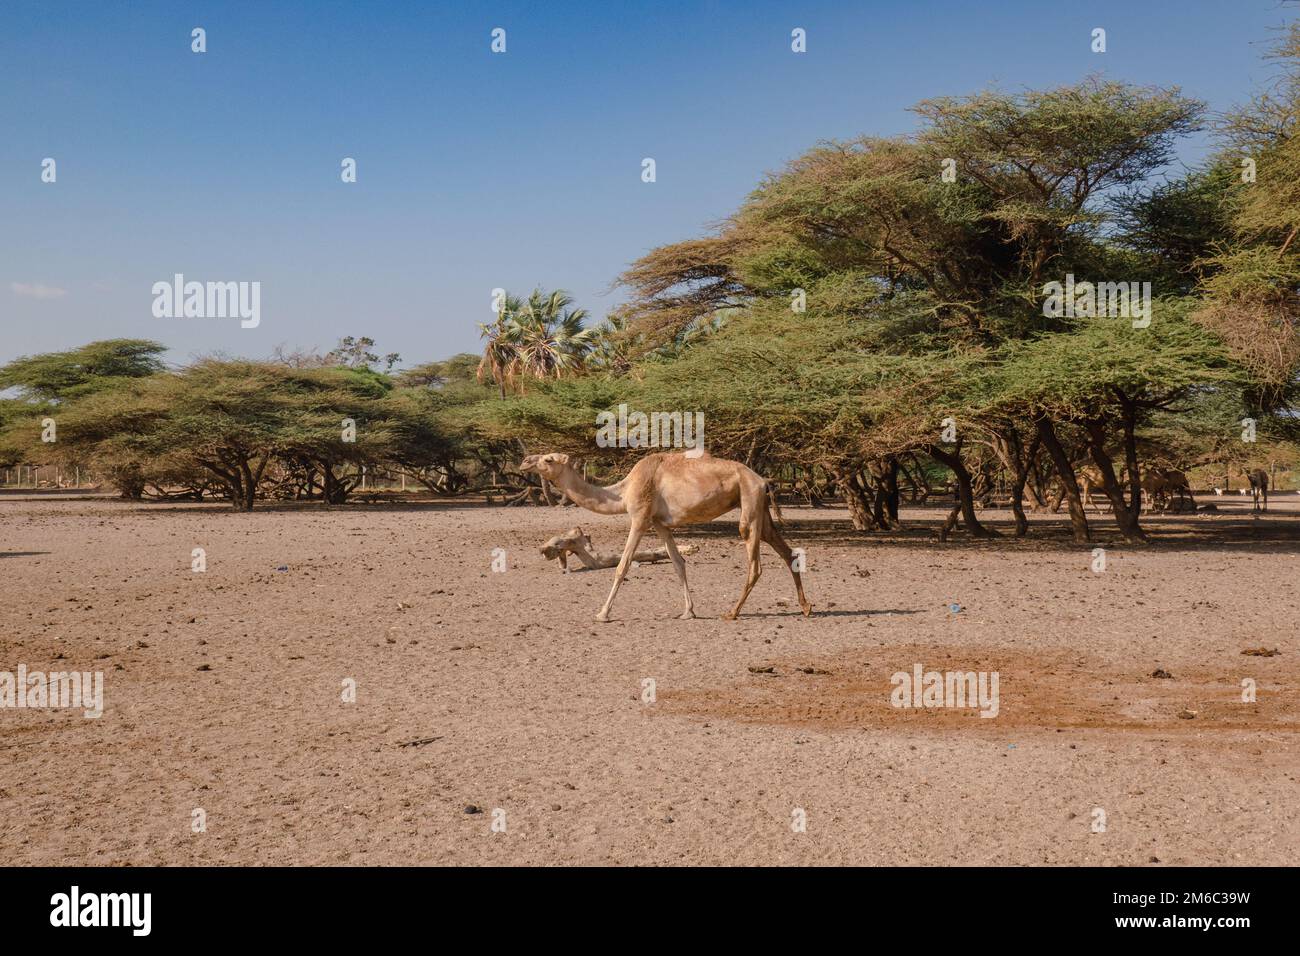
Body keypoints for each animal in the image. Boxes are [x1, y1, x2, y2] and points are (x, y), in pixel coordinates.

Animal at [519, 451, 812, 622]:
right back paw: (806, 607)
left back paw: (732, 612)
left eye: (548, 459)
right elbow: (678, 563)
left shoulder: (640, 517)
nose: (525, 462)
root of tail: (763, 480)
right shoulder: (659, 523)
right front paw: (688, 611)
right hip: (760, 510)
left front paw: (602, 613)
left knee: (754, 562)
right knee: (788, 552)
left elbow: (623, 565)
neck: (623, 491)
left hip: (749, 503)